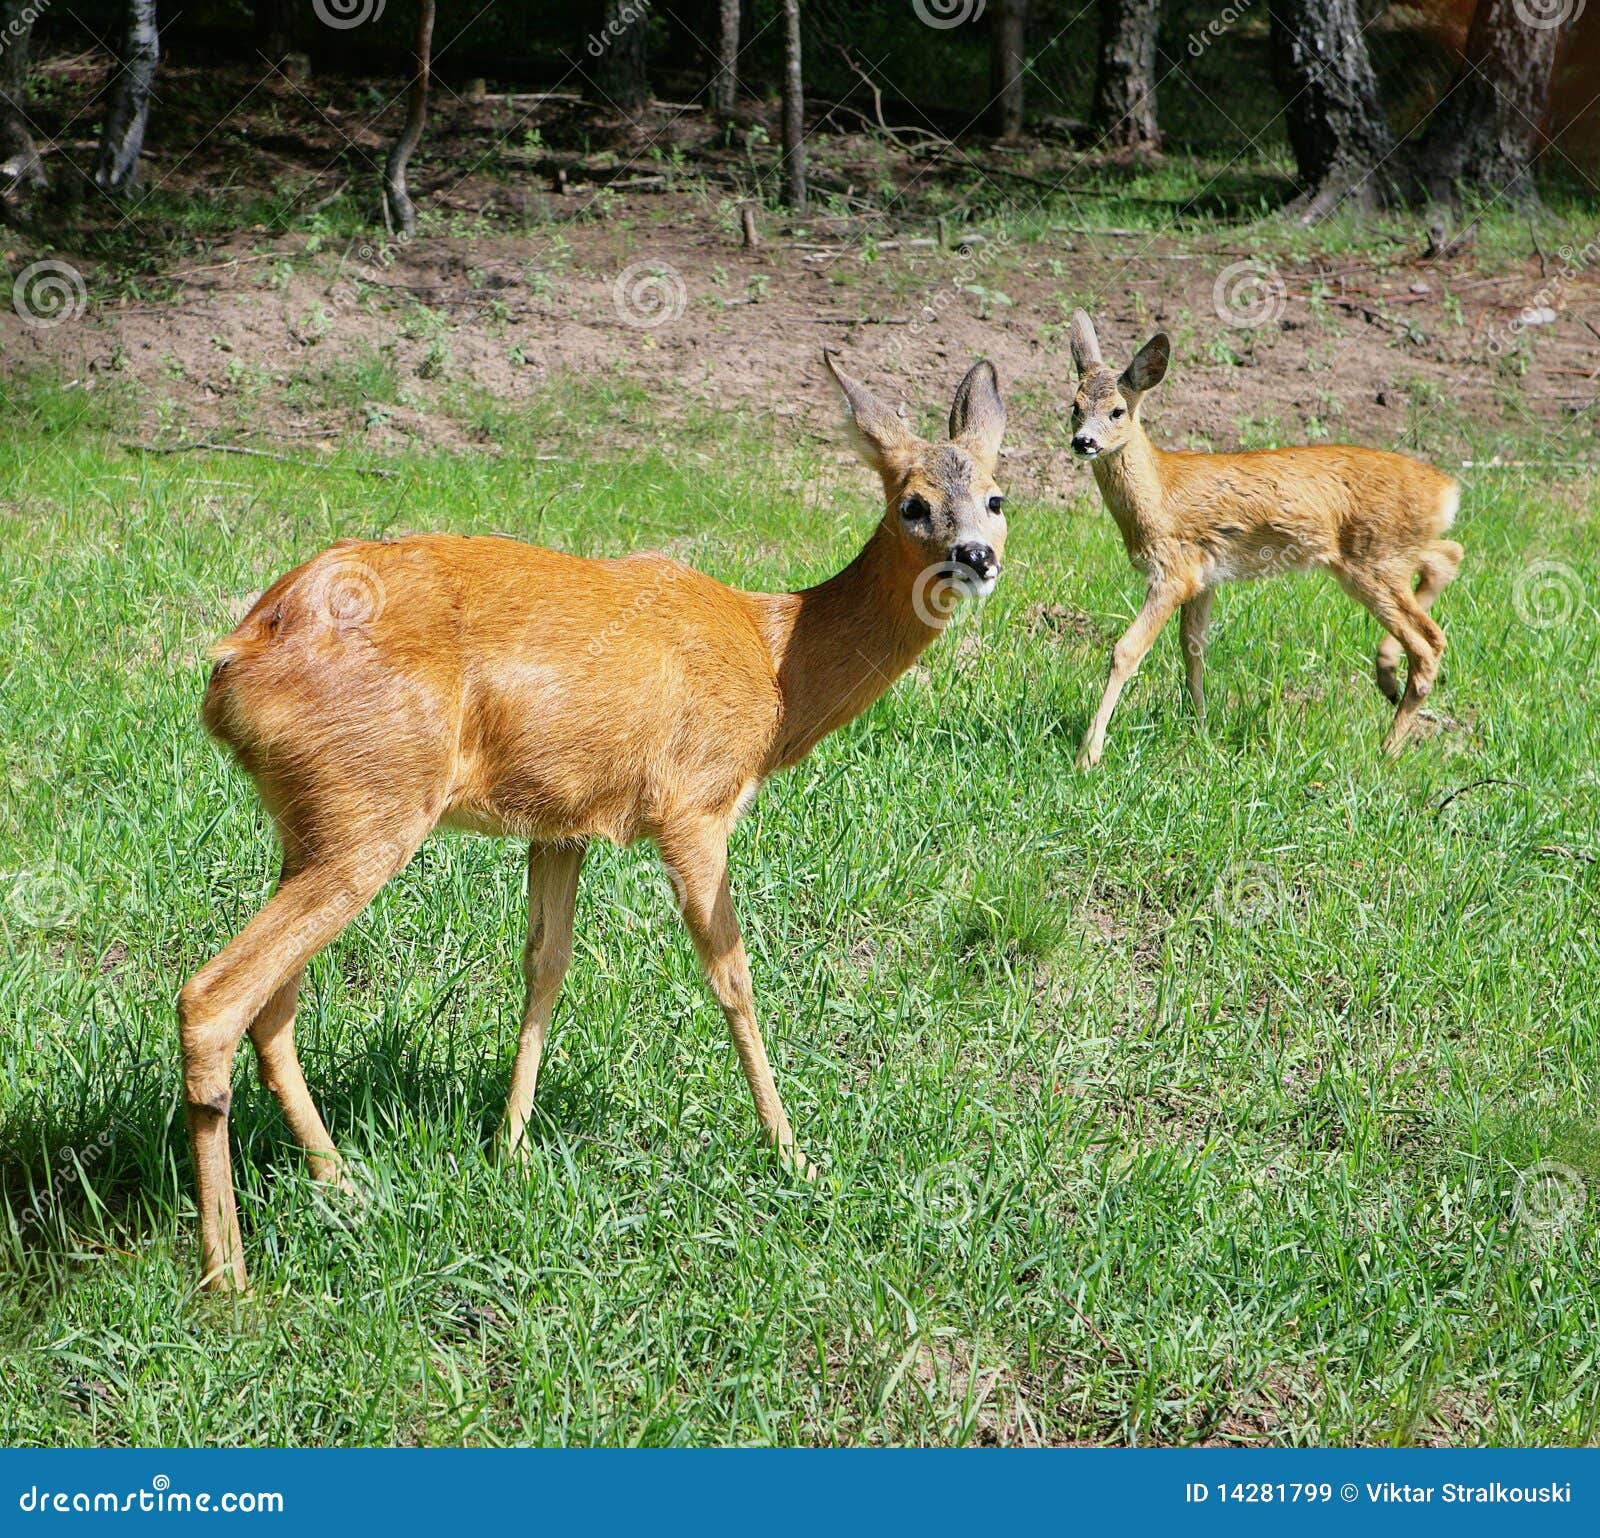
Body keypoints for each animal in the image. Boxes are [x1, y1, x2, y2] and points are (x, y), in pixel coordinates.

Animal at [179, 351, 1008, 1290]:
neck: (773, 662)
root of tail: (234, 662)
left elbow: (545, 965)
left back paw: (343, 1186)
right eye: (912, 503)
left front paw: (510, 1147)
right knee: (215, 996)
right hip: (372, 807)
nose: (976, 556)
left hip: (314, 819)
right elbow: (733, 975)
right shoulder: (693, 805)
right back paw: (230, 1274)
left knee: (272, 1005)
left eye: (997, 495)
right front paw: (794, 1154)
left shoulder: (563, 821)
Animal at [1064, 309, 1463, 767]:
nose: (1083, 441)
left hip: (1372, 561)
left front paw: (1088, 754)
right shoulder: (1205, 576)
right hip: (1390, 553)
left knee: (1430, 641)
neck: (1159, 494)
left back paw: (1386, 747)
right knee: (1448, 556)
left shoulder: (1174, 571)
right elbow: (1193, 648)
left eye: (1117, 411)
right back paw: (1388, 678)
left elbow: (1126, 650)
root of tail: (1447, 490)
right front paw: (1200, 726)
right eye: (1074, 406)